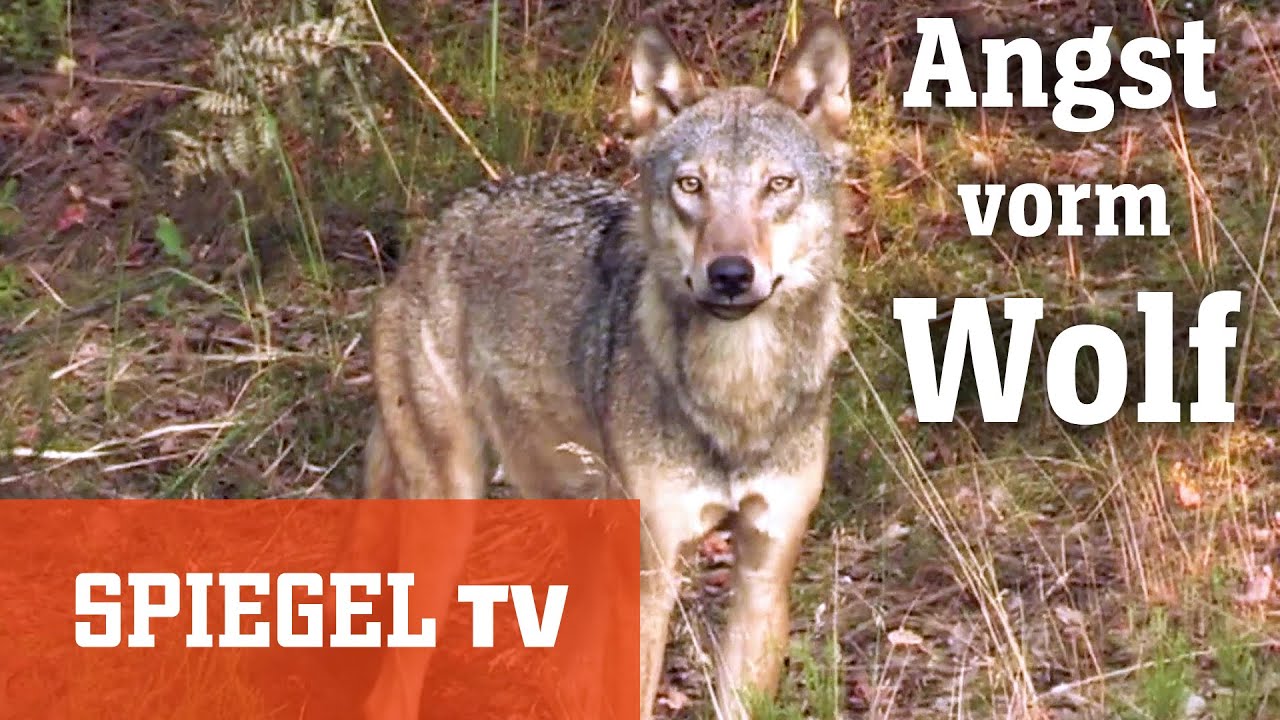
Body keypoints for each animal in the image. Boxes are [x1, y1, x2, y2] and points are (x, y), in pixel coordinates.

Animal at [359, 13, 853, 720]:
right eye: (690, 185)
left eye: (777, 185)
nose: (730, 275)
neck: (737, 396)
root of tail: (435, 232)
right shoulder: (651, 578)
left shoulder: (764, 569)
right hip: (450, 512)